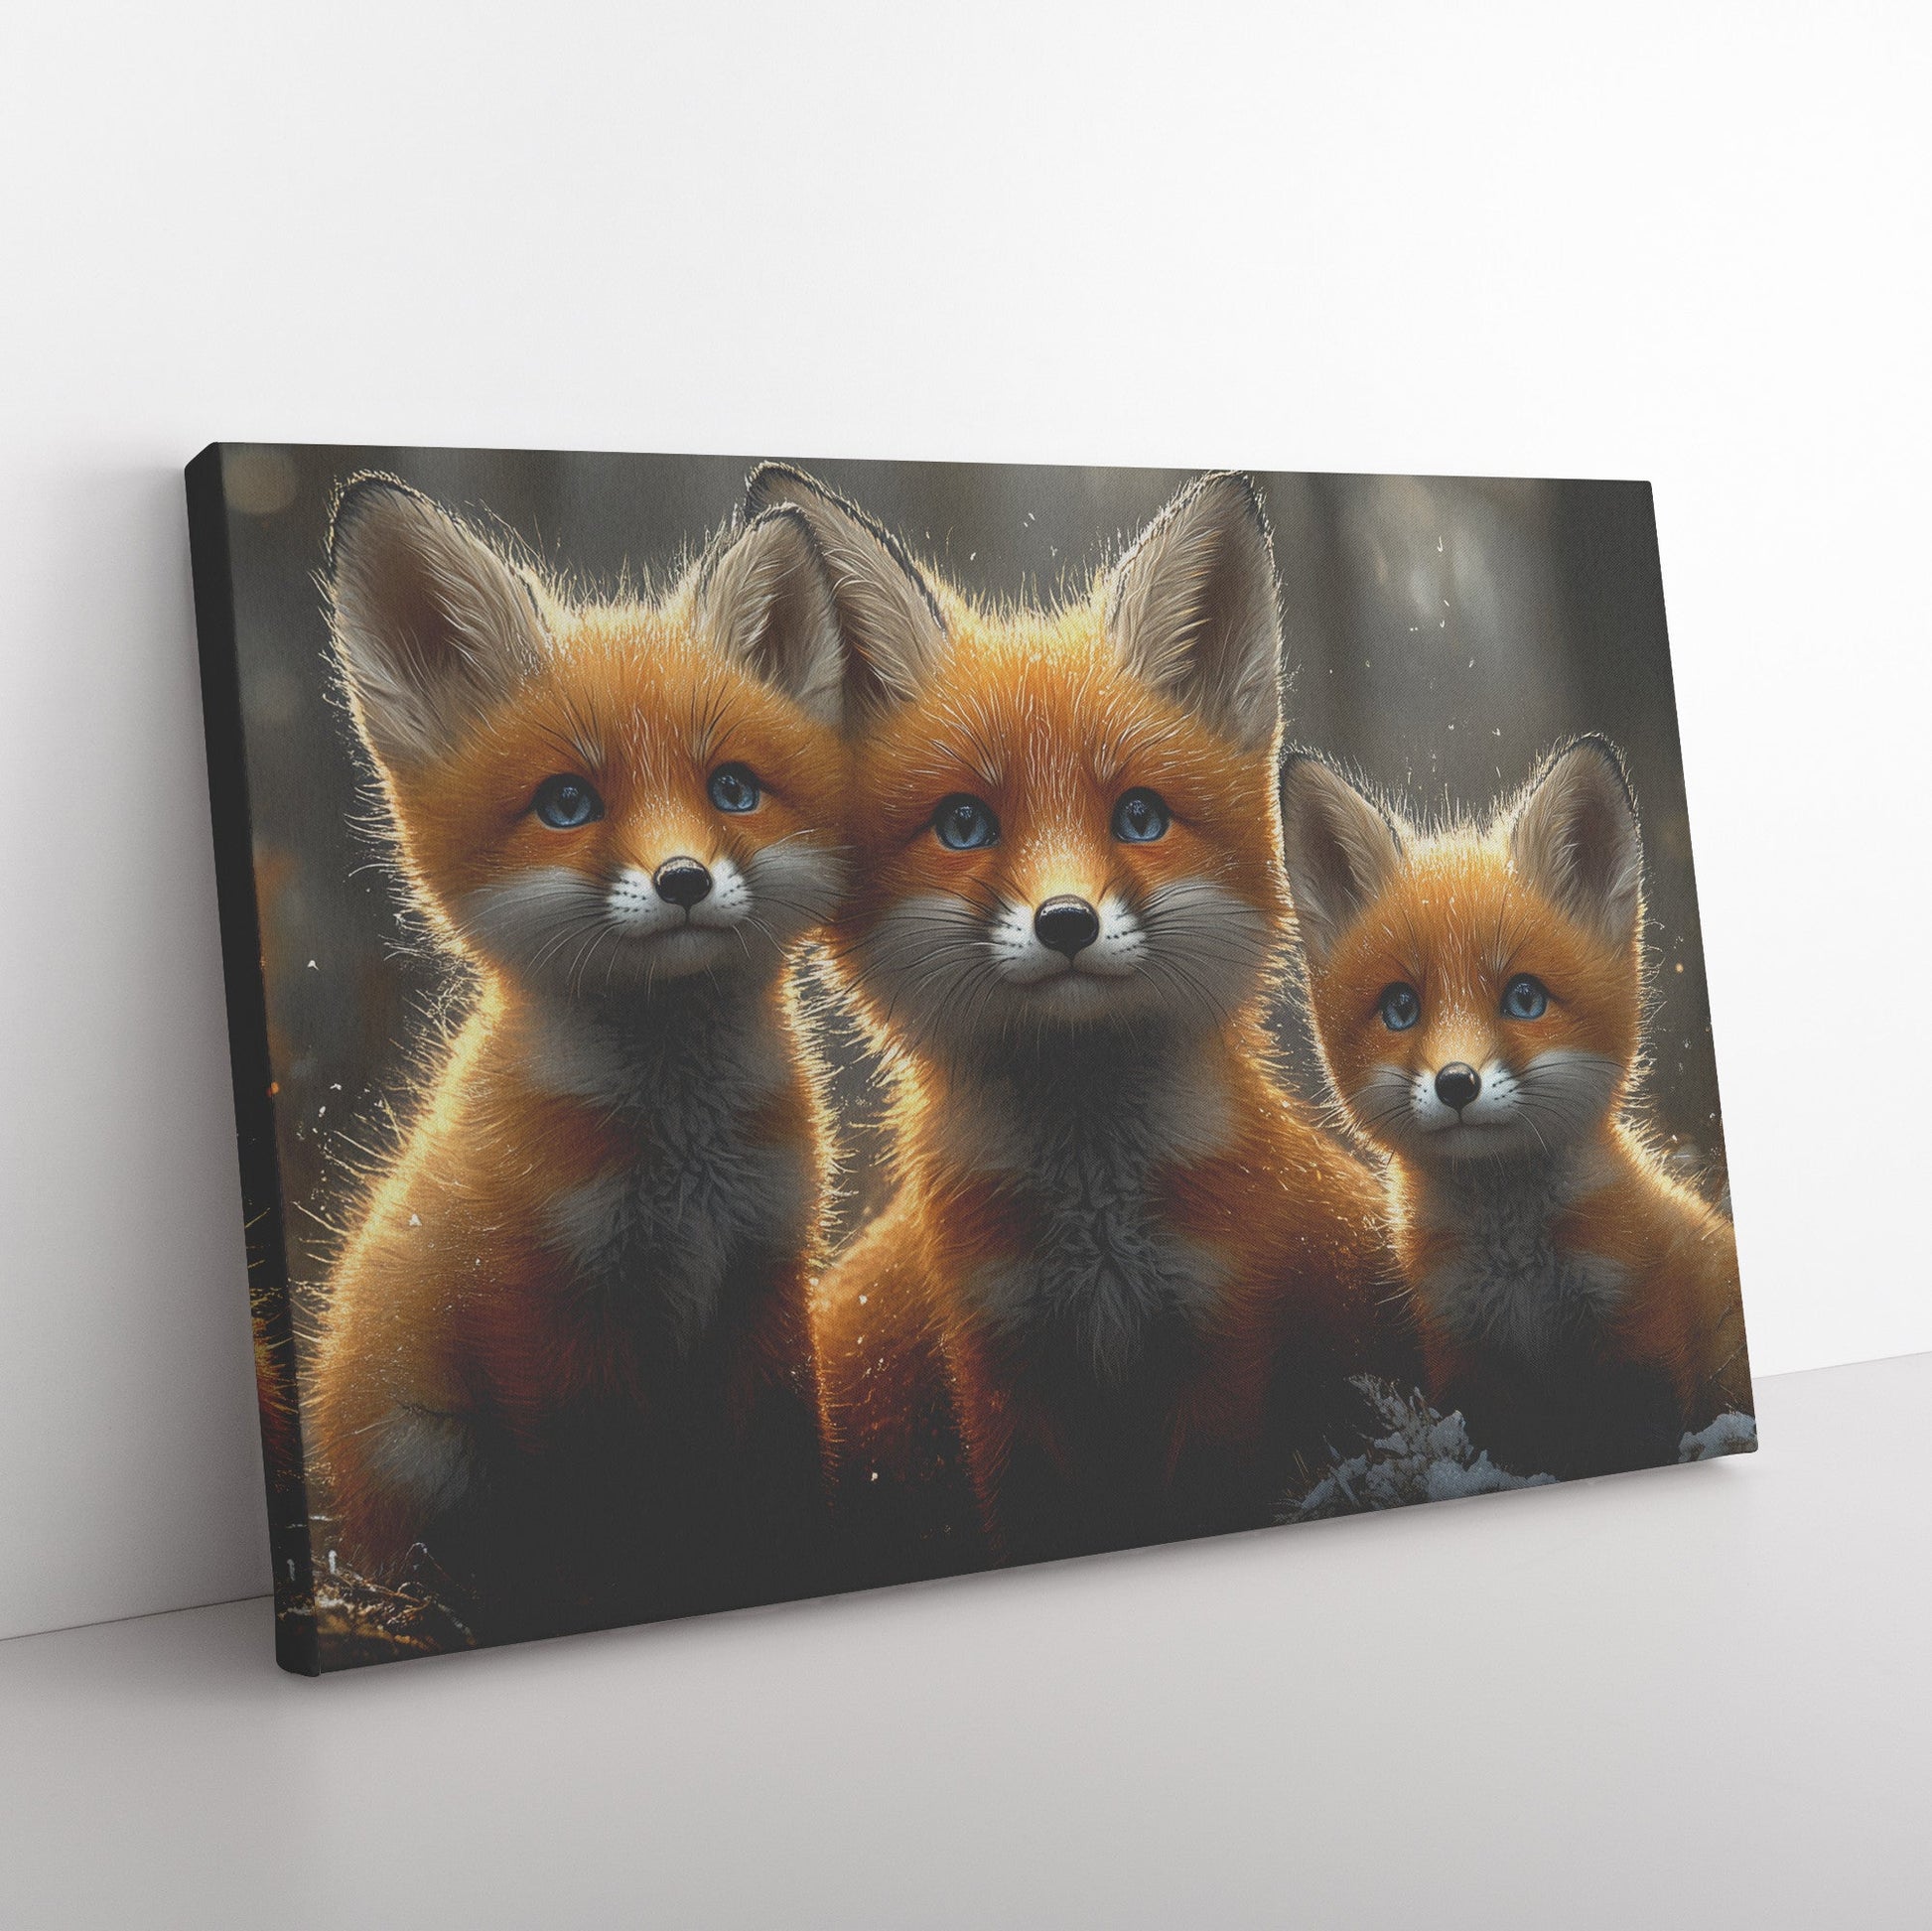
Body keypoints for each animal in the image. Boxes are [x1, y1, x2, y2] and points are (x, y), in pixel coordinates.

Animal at [308, 475, 848, 1629]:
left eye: (732, 789)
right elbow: (598, 1519)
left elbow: (786, 1481)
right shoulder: (549, 1319)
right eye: (567, 803)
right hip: (427, 1457)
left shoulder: (764, 1280)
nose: (683, 879)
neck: (682, 1166)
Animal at [748, 463, 1412, 1567]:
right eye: (963, 824)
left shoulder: (1224, 1345)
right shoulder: (1002, 1373)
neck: (1098, 1253)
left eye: (1138, 817)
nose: (1066, 922)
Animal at [1277, 737, 1751, 1479]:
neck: (1518, 1276)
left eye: (1524, 998)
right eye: (1400, 1008)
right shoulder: (1465, 1360)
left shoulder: (1639, 1333)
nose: (1456, 1083)